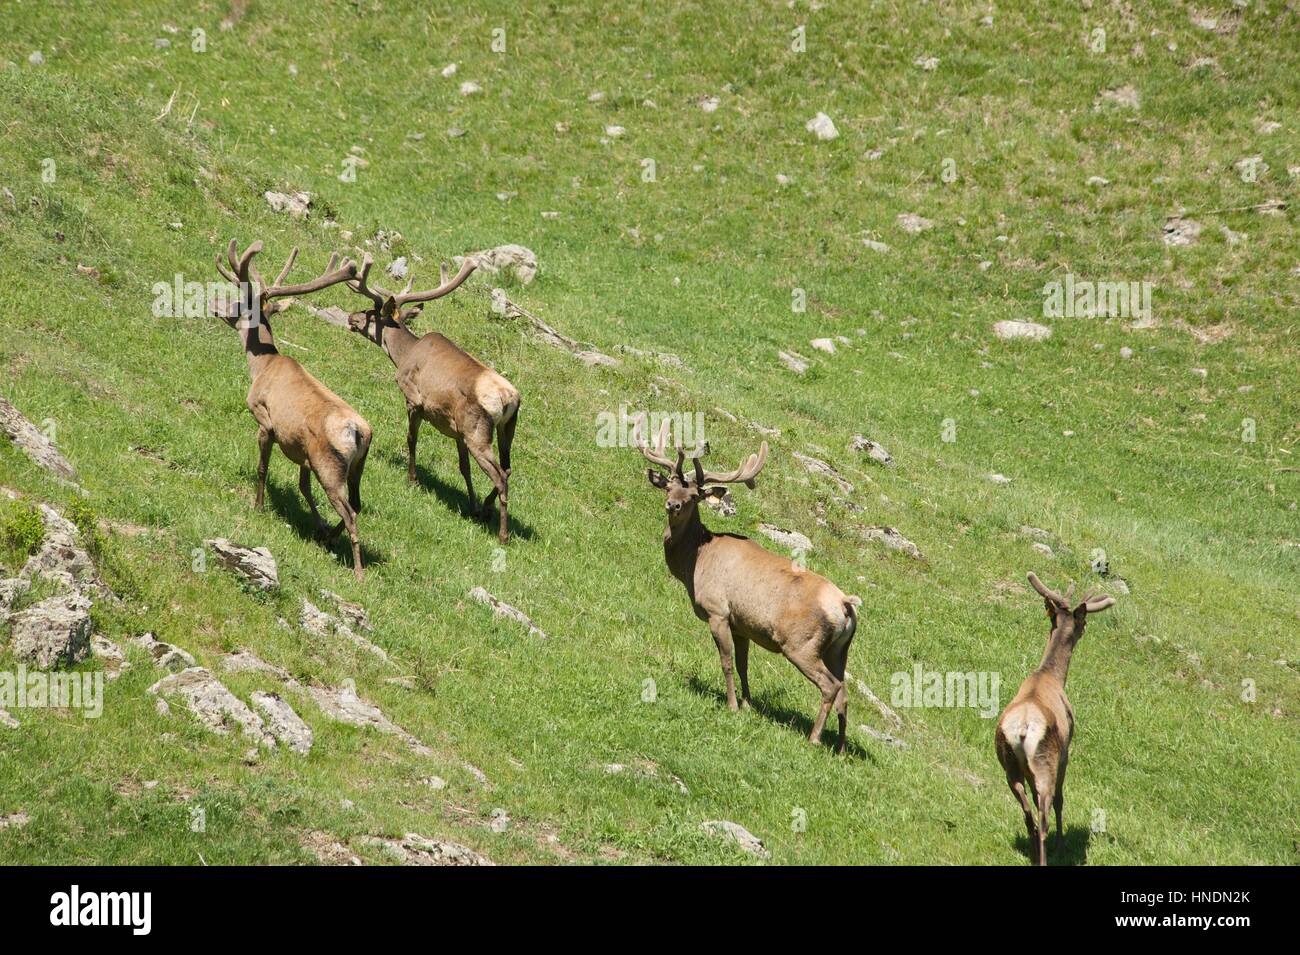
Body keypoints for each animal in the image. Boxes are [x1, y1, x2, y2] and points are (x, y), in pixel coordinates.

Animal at [209, 239, 372, 579]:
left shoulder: (265, 419)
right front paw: (318, 525)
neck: (261, 367)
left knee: (351, 512)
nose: (213, 303)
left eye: (238, 304)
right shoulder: (302, 450)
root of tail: (359, 432)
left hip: (330, 468)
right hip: (356, 467)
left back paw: (358, 572)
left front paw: (258, 506)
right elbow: (302, 487)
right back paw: (329, 537)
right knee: (358, 503)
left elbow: (262, 467)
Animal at [337, 253, 520, 544]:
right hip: (504, 428)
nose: (351, 317)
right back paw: (486, 508)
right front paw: (472, 506)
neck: (402, 355)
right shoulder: (457, 431)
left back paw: (502, 534)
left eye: (370, 313)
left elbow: (411, 439)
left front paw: (412, 479)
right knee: (508, 468)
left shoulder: (414, 398)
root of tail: (507, 399)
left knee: (500, 476)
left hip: (477, 431)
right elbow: (463, 467)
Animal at [634, 418, 862, 753]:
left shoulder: (718, 611)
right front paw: (747, 704)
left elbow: (726, 661)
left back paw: (814, 738)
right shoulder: (743, 624)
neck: (694, 562)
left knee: (830, 686)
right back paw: (842, 749)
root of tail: (846, 606)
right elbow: (743, 665)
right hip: (839, 650)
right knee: (845, 690)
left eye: (694, 497)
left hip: (801, 644)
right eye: (669, 485)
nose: (672, 504)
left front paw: (730, 705)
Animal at [994, 572, 1117, 865]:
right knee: (1044, 813)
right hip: (1045, 762)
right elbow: (1062, 799)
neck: (1050, 676)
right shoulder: (1066, 749)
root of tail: (1022, 729)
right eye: (1082, 621)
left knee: (1027, 810)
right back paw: (1047, 854)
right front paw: (1062, 845)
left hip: (1009, 764)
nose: (1085, 628)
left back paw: (1031, 848)